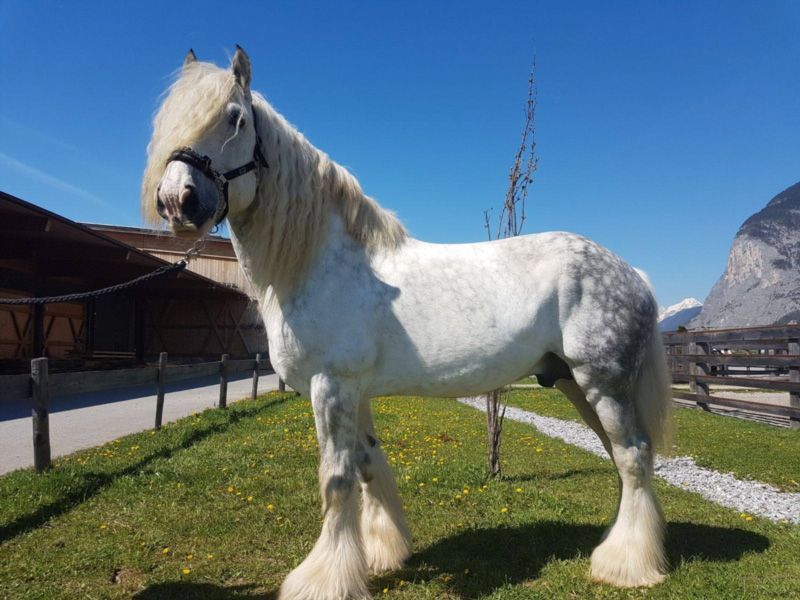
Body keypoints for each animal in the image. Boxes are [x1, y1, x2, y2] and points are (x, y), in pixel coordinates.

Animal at [142, 47, 673, 599]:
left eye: (236, 119)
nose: (177, 201)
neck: (320, 261)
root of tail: (631, 271)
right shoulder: (353, 392)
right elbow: (368, 467)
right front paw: (382, 553)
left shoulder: (331, 386)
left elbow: (337, 480)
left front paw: (324, 580)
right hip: (573, 382)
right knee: (624, 457)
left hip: (604, 384)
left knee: (633, 454)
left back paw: (625, 564)